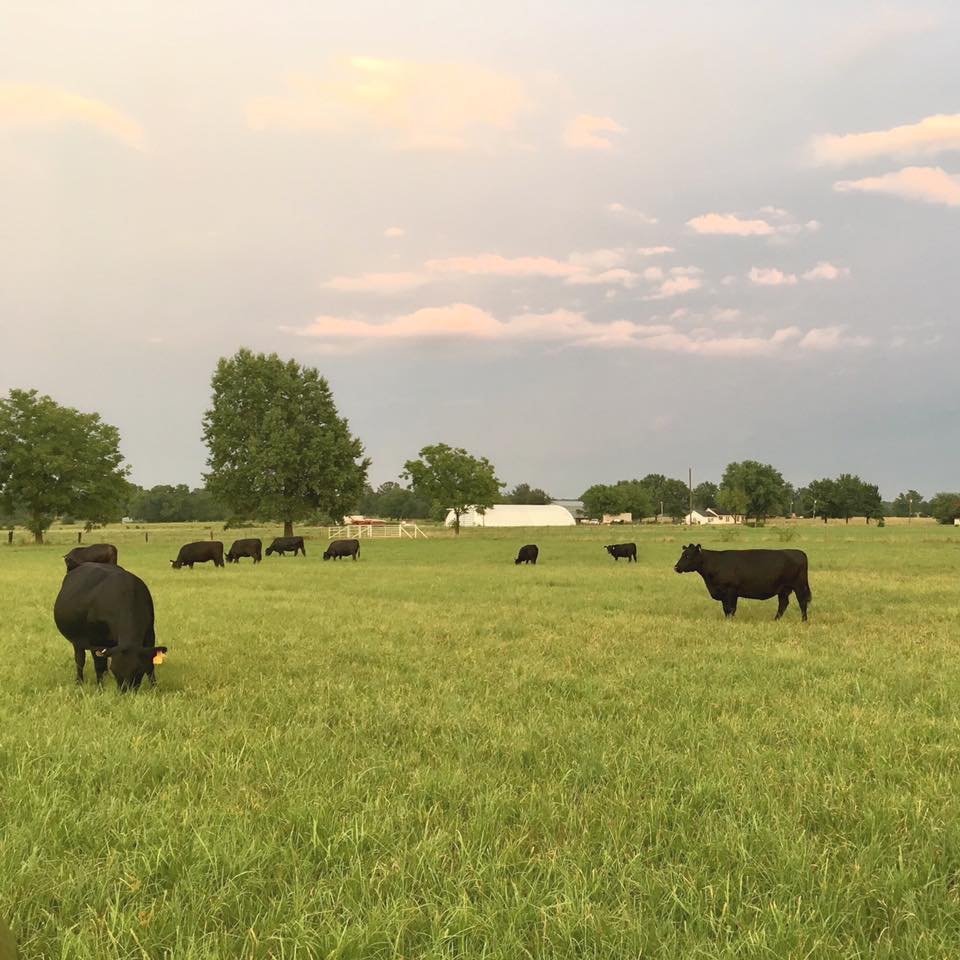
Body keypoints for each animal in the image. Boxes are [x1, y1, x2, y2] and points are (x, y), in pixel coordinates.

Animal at [673, 544, 812, 620]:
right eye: (682, 554)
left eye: (688, 556)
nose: (676, 567)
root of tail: (799, 552)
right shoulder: (723, 593)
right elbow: (725, 609)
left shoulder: (730, 591)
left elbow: (730, 608)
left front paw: (730, 621)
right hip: (783, 588)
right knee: (783, 604)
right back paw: (775, 620)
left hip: (799, 585)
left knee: (802, 602)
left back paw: (804, 620)